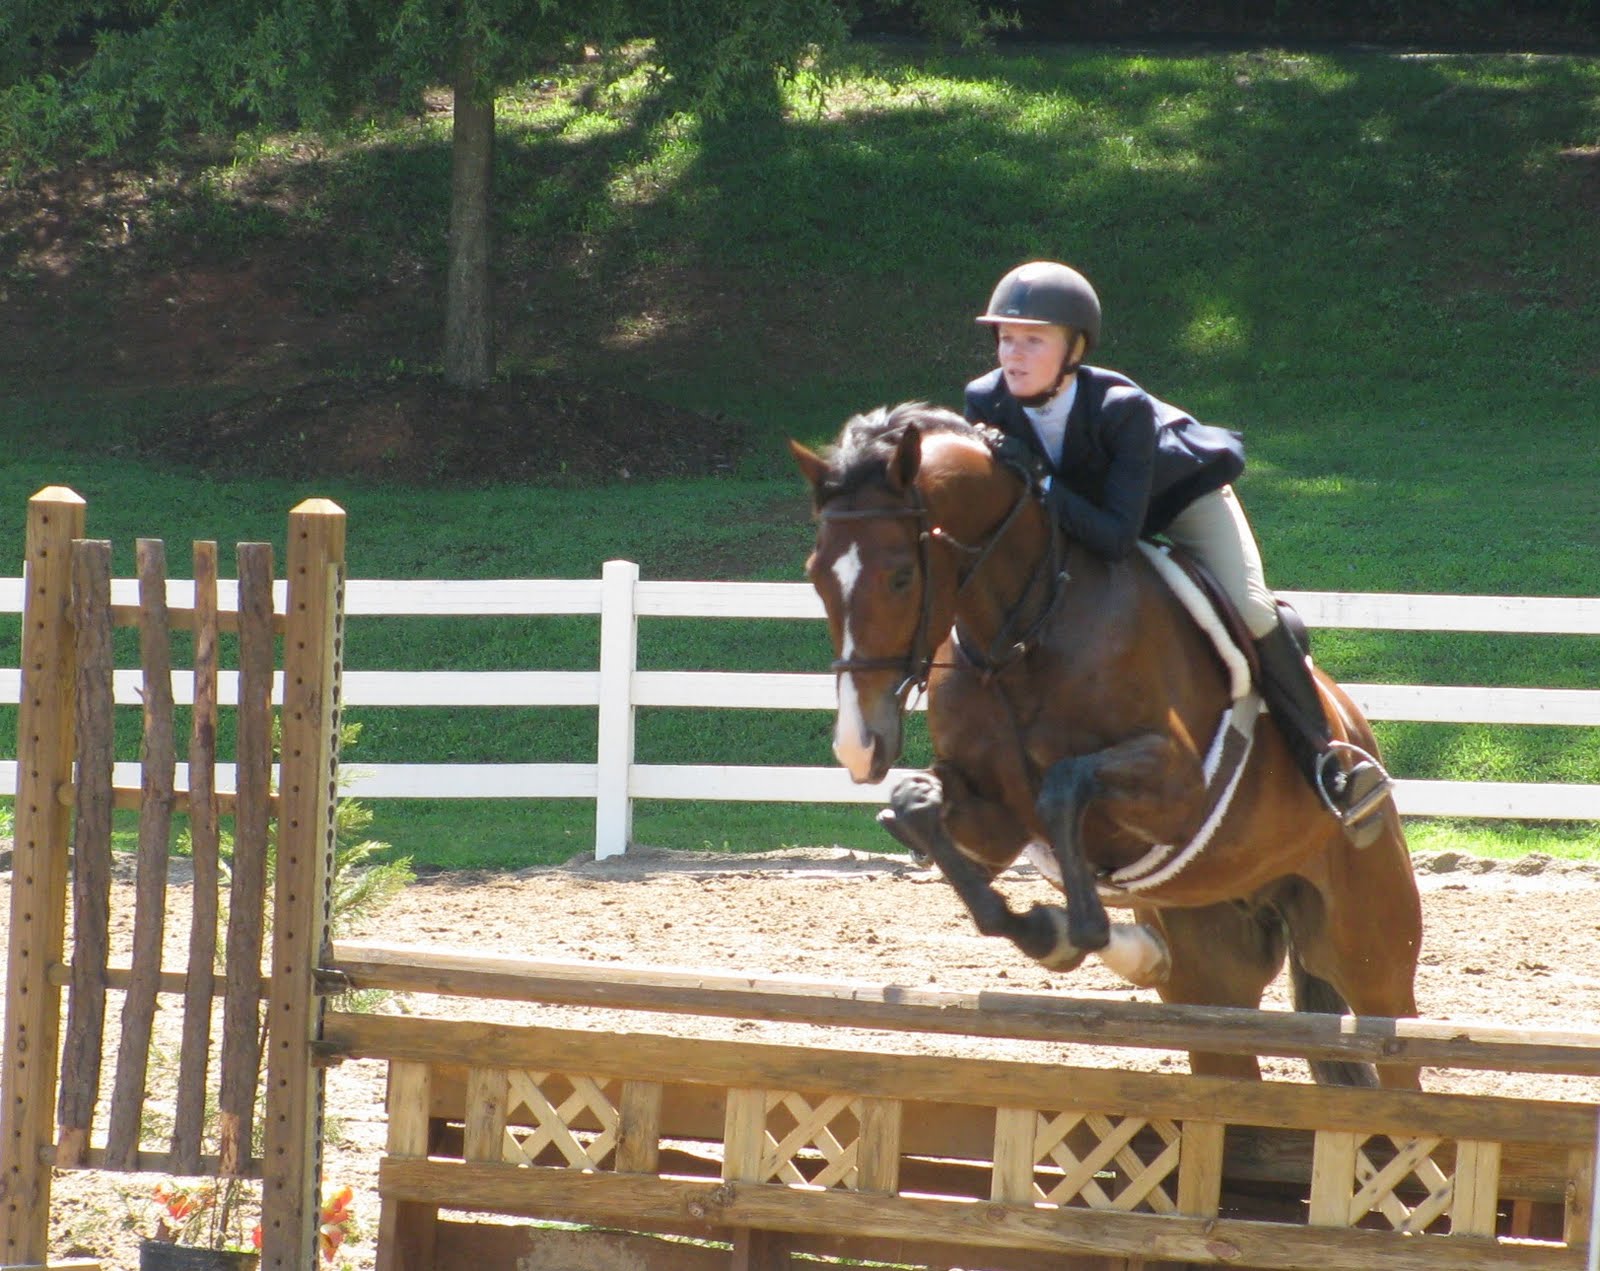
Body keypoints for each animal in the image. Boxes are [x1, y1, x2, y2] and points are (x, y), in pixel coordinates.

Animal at [791, 402, 1423, 1089]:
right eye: (815, 576)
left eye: (902, 576)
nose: (858, 746)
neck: (1021, 638)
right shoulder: (993, 816)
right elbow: (917, 811)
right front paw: (1054, 931)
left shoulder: (1180, 790)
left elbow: (1064, 785)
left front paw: (1084, 932)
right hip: (1215, 972)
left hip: (1371, 951)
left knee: (1392, 1040)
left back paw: (1346, 788)